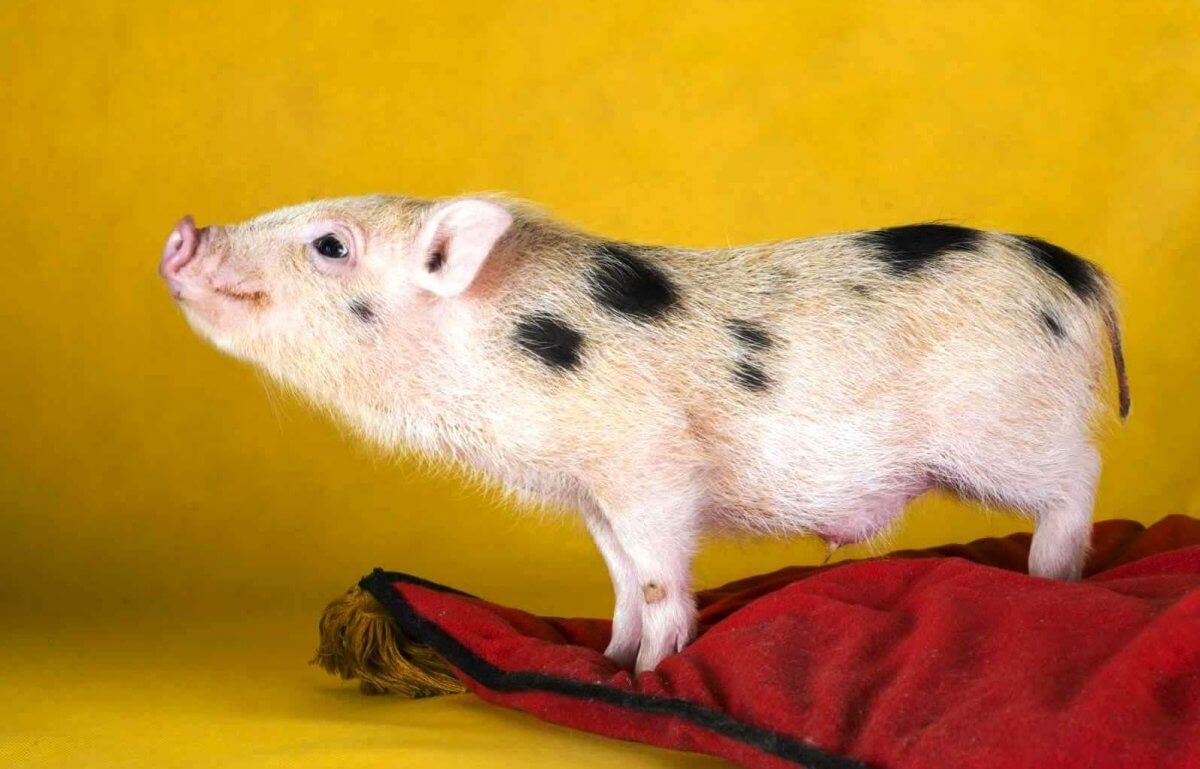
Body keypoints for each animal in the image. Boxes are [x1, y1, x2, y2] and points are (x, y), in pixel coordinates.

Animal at [160, 194, 1129, 673]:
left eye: (330, 245)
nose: (183, 232)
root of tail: (1083, 278)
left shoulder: (650, 460)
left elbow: (662, 573)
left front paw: (654, 673)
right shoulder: (593, 489)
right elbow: (621, 575)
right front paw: (610, 657)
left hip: (1007, 426)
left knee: (1081, 473)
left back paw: (1052, 578)